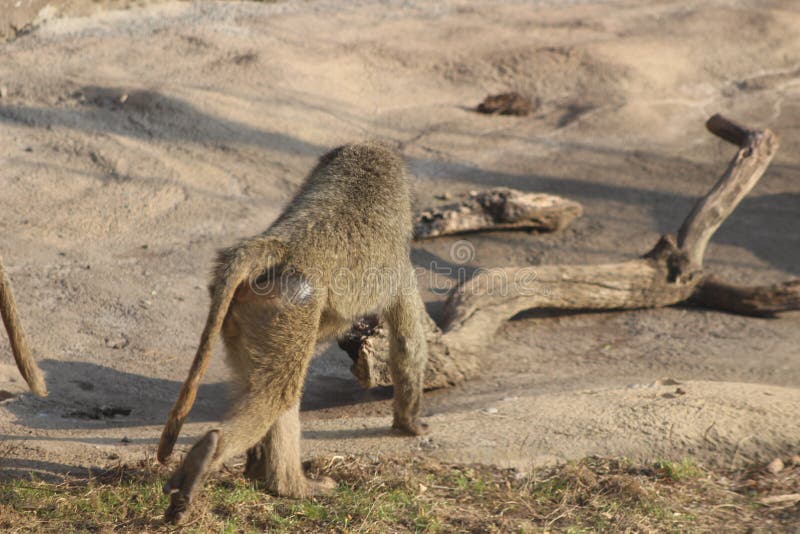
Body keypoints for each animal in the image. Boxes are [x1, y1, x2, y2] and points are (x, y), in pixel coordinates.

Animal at [158, 143, 429, 523]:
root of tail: (280, 244)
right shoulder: (402, 270)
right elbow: (408, 347)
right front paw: (410, 425)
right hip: (292, 305)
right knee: (278, 396)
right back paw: (247, 471)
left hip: (248, 316)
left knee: (264, 390)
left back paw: (275, 479)